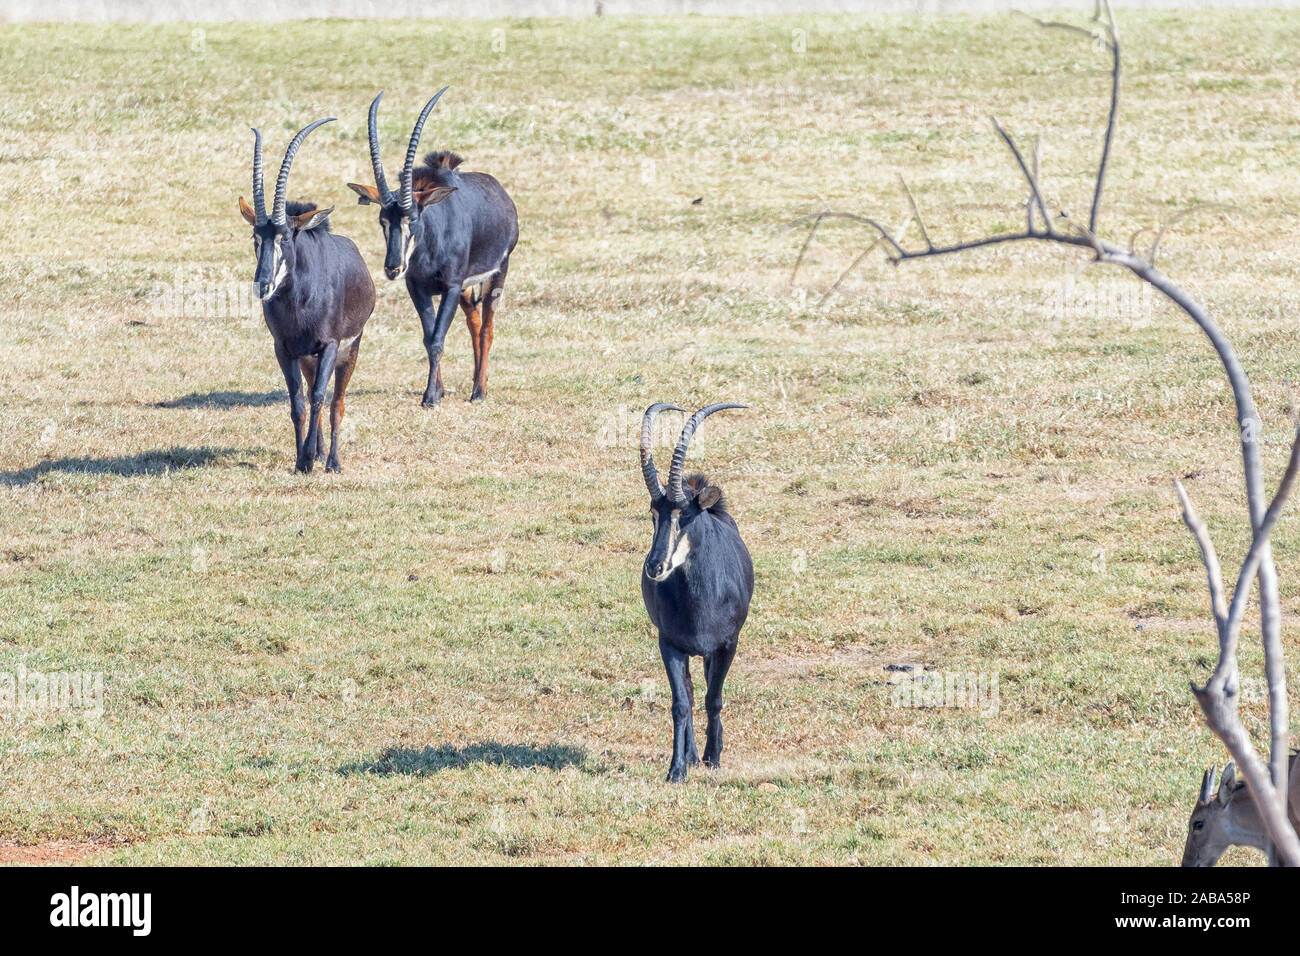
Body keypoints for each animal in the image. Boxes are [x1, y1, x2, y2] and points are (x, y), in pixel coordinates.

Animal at [239, 118, 375, 473]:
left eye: (285, 236)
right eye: (256, 236)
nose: (263, 285)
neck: (298, 304)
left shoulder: (329, 346)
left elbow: (318, 399)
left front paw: (314, 460)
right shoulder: (285, 349)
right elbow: (298, 401)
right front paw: (302, 459)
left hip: (348, 350)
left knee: (335, 401)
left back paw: (332, 461)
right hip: (308, 358)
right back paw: (317, 453)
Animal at [348, 90, 518, 406]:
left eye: (412, 218)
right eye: (383, 220)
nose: (393, 268)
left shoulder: (450, 286)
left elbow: (438, 338)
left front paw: (430, 397)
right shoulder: (418, 288)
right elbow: (429, 337)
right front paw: (437, 390)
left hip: (497, 273)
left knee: (486, 330)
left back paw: (479, 391)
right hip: (466, 289)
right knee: (474, 324)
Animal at [639, 403, 754, 783]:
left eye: (684, 515)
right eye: (654, 513)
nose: (655, 567)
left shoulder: (727, 644)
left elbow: (713, 698)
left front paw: (713, 757)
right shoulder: (669, 644)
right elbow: (680, 703)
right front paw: (676, 769)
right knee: (689, 692)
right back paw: (689, 756)